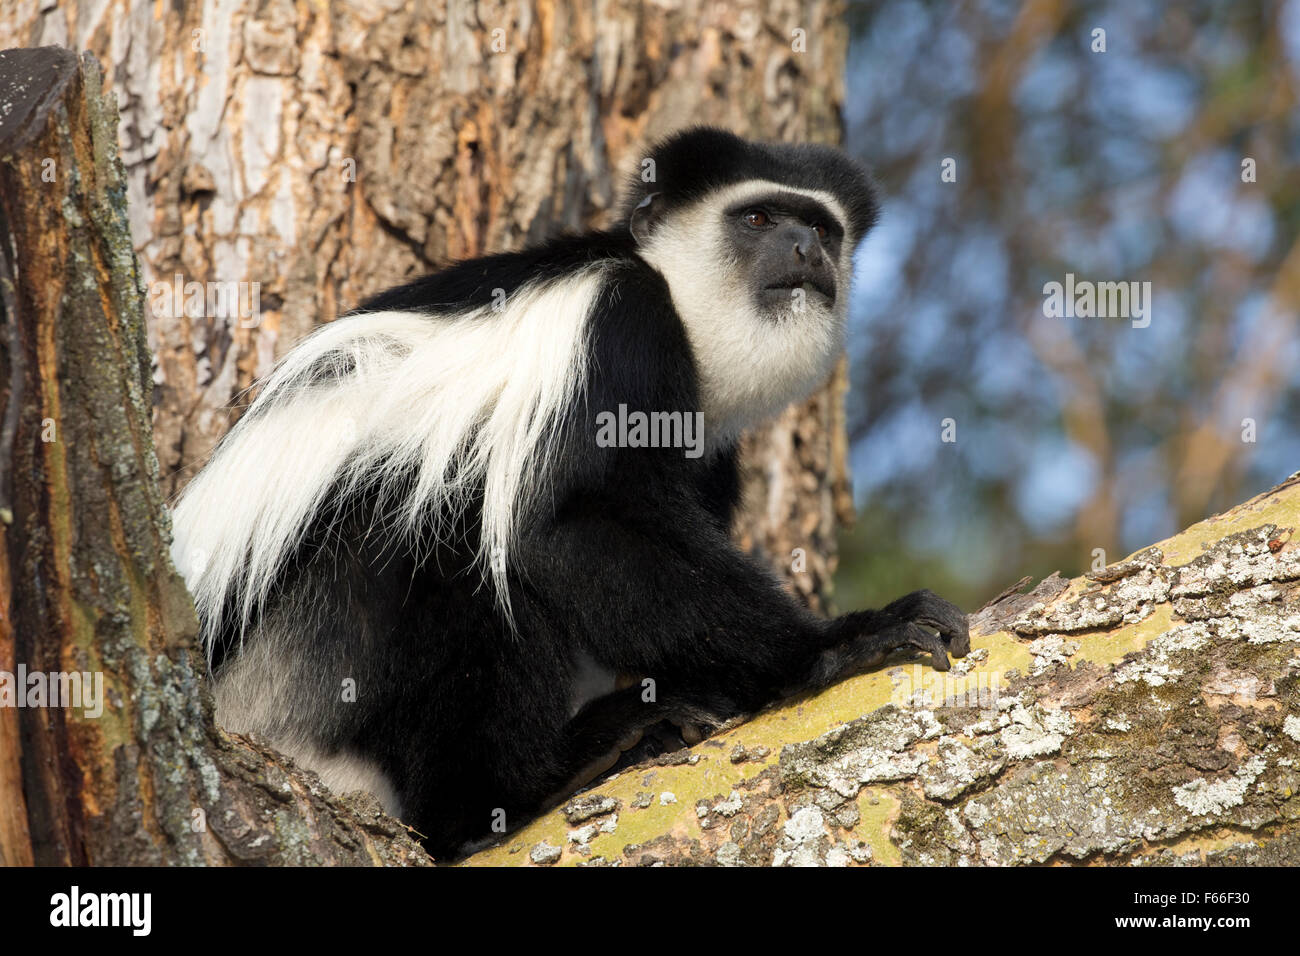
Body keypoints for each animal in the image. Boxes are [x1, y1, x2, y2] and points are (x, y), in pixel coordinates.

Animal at [170, 127, 969, 858]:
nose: (806, 250)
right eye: (759, 218)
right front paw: (838, 642)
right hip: (299, 665)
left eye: (824, 228)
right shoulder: (616, 325)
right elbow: (566, 525)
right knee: (446, 533)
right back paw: (513, 791)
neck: (678, 305)